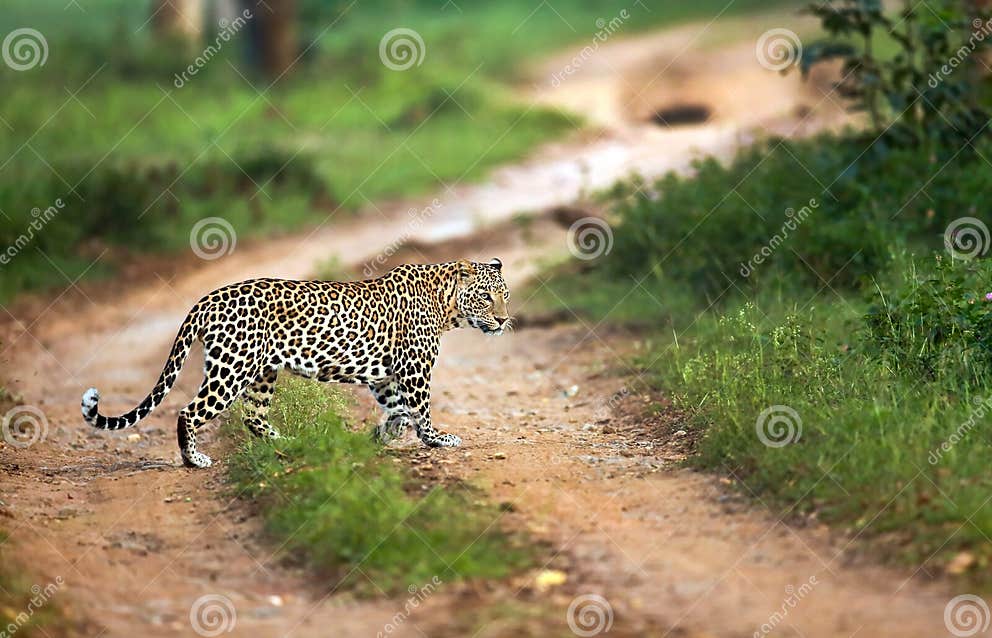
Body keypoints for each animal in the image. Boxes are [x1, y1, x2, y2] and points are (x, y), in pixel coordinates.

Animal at [81, 258, 511, 468]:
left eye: (505, 295)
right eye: (487, 297)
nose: (505, 320)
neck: (446, 305)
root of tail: (207, 298)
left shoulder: (387, 376)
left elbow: (399, 414)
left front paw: (376, 438)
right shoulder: (414, 369)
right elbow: (419, 410)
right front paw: (438, 439)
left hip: (261, 373)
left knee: (253, 417)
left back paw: (290, 444)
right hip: (232, 368)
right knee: (189, 411)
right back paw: (195, 460)